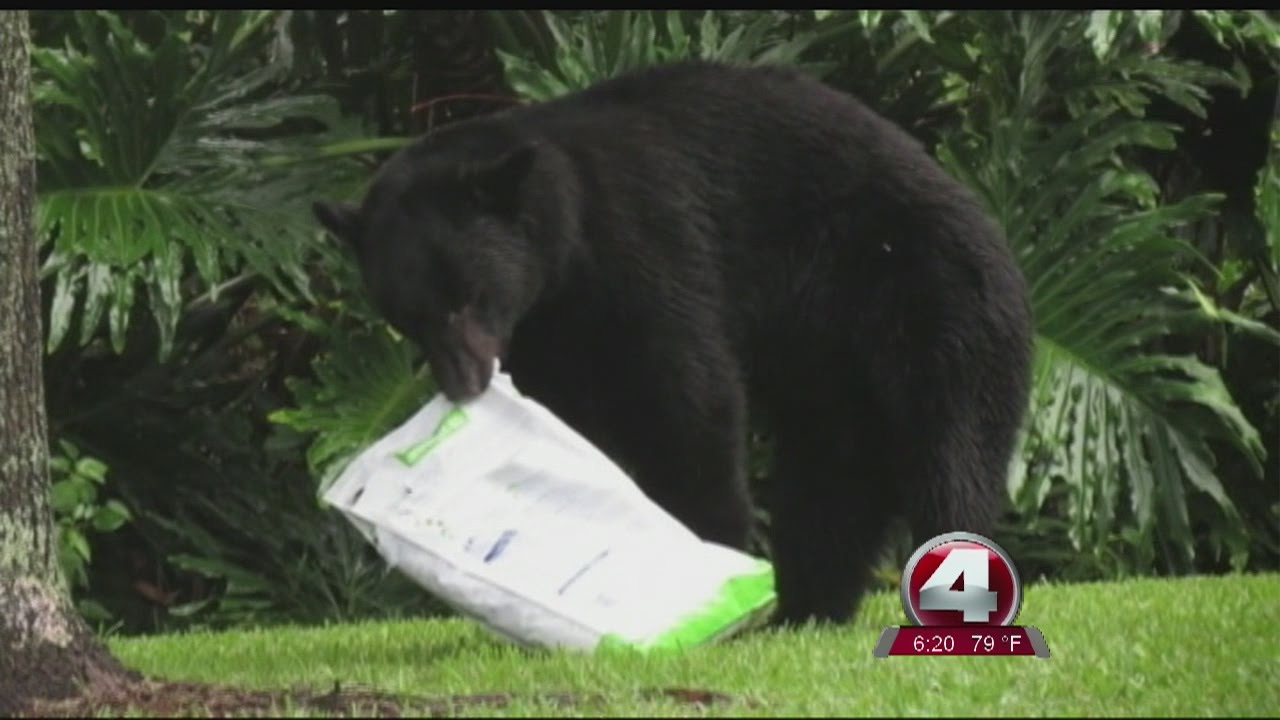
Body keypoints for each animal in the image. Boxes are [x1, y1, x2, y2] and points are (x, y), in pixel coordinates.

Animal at [312, 59, 1034, 627]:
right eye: (407, 316)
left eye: (466, 296)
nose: (464, 383)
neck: (569, 244)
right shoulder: (549, 331)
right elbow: (575, 422)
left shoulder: (650, 244)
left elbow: (688, 395)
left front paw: (710, 545)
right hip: (837, 371)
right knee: (833, 479)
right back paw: (807, 607)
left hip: (934, 303)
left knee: (952, 454)